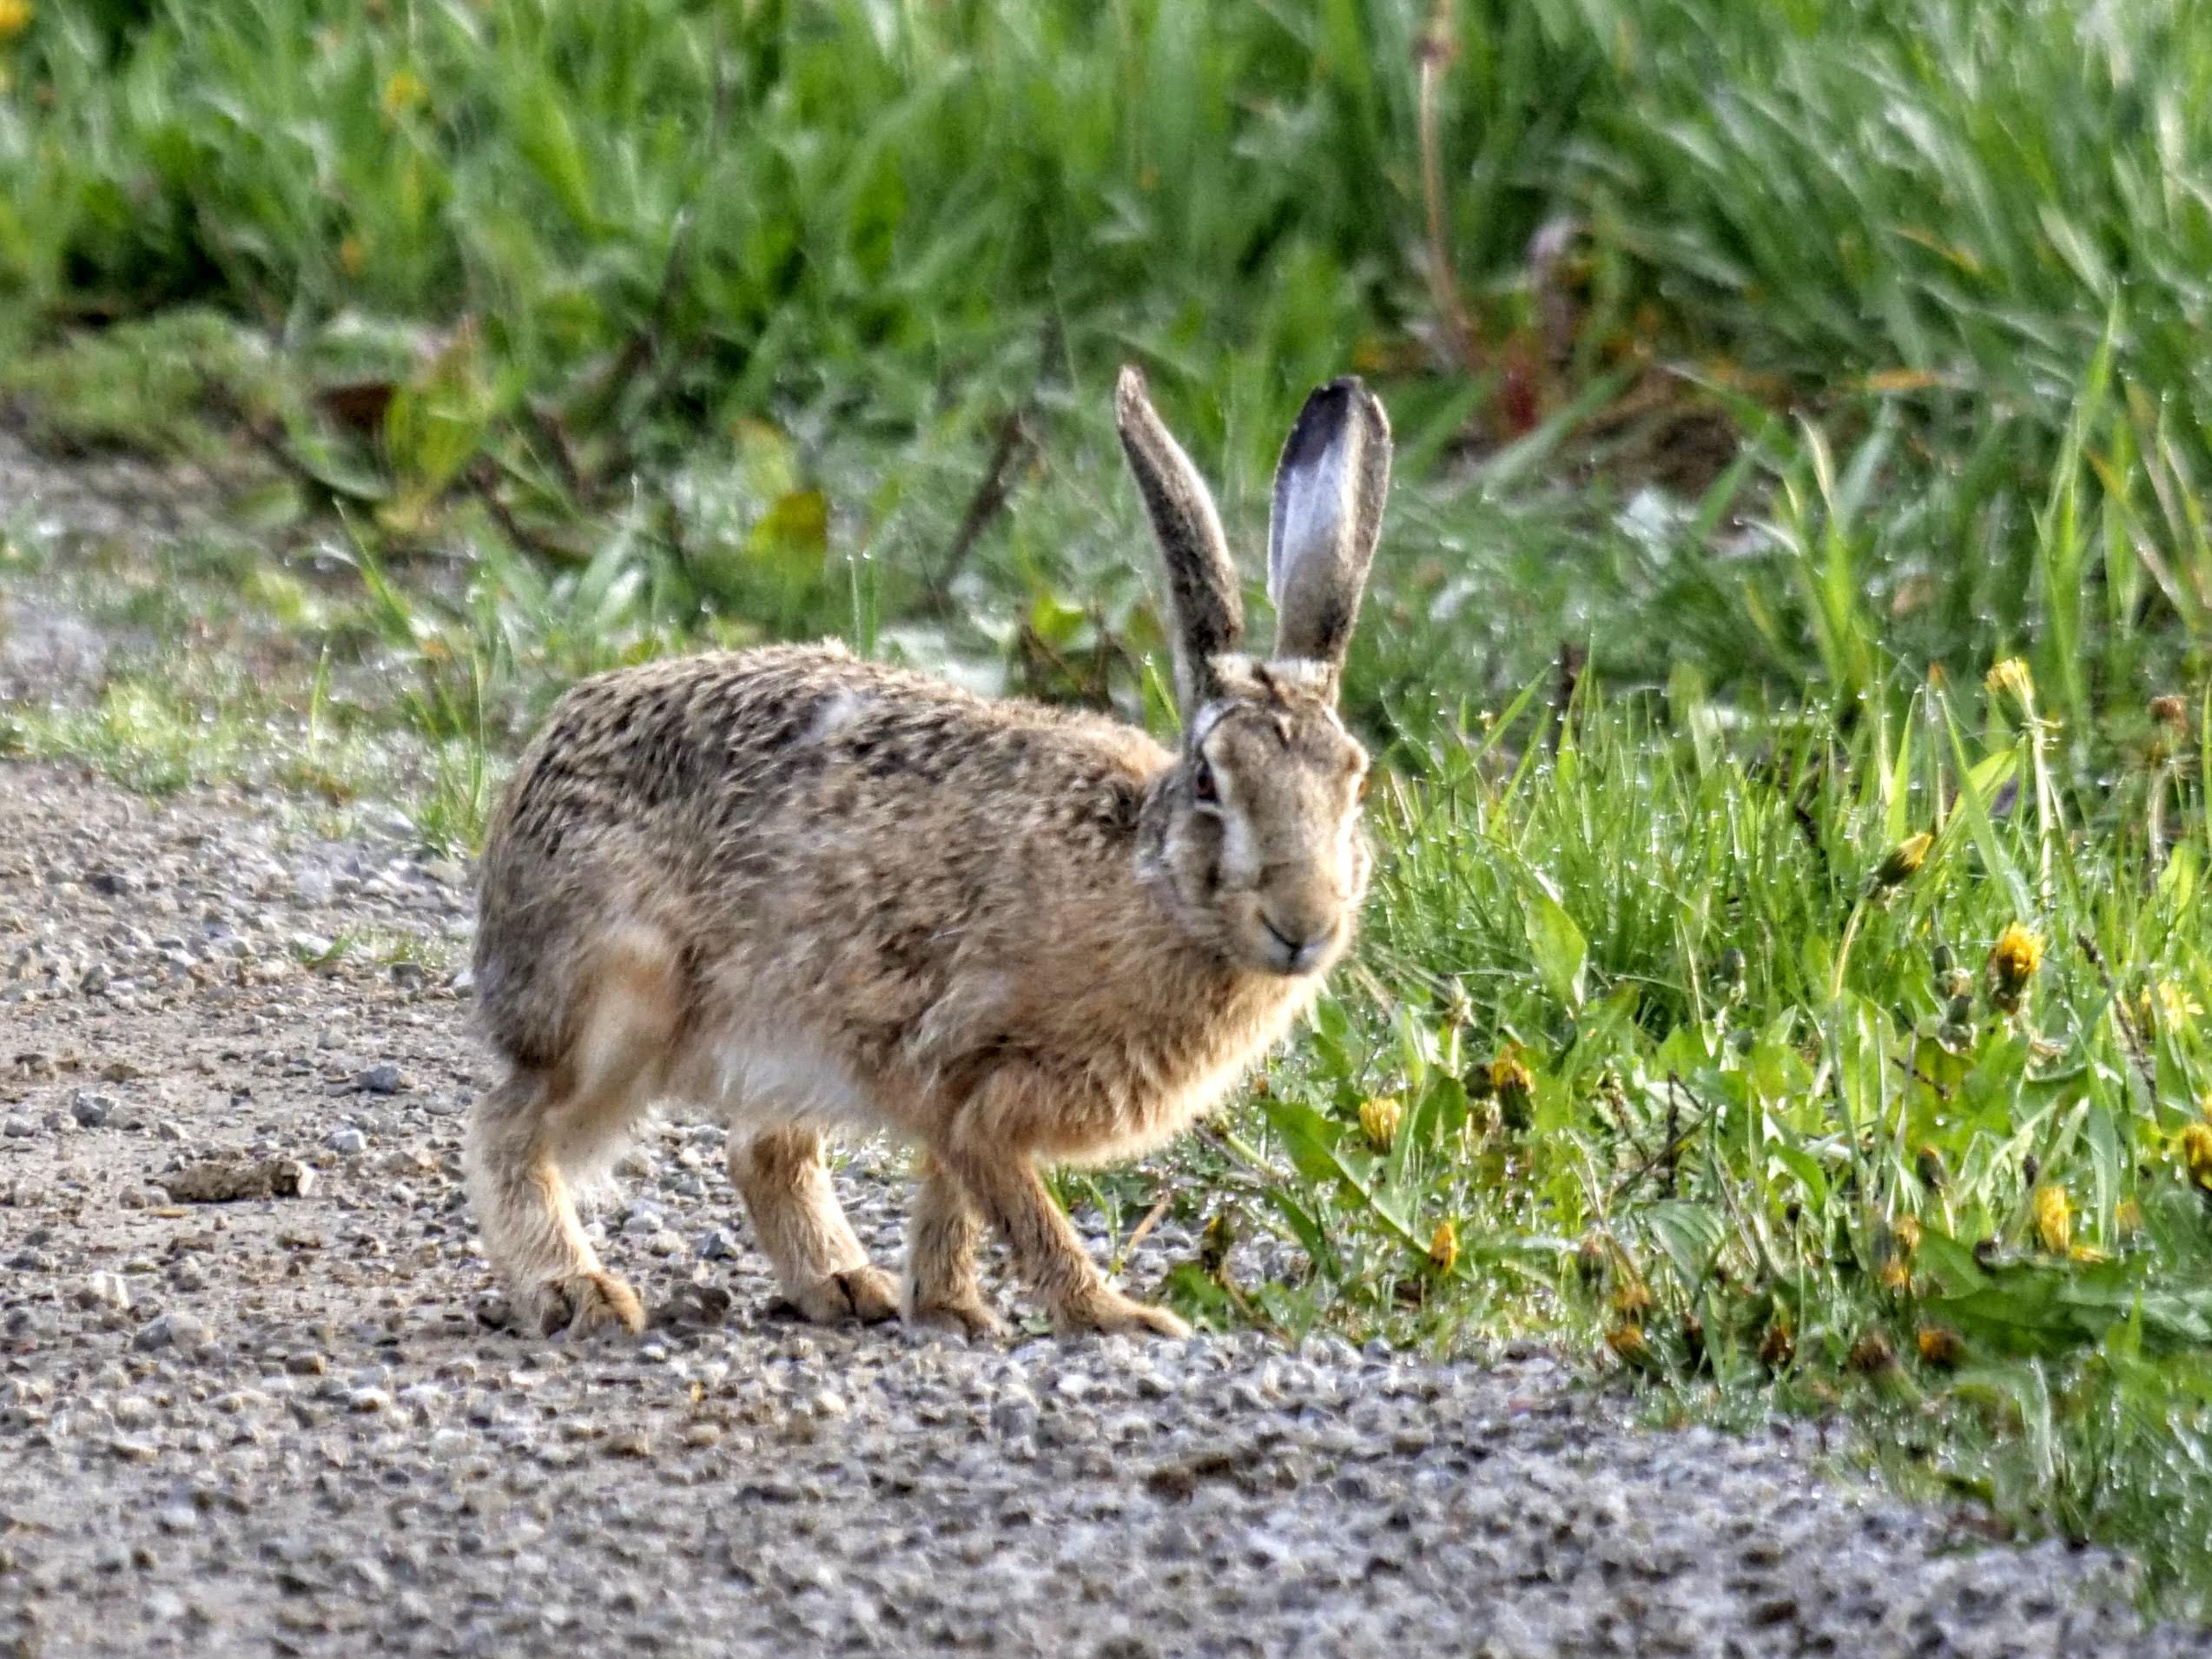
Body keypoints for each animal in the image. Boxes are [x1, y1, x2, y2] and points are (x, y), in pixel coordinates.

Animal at [466, 365, 1392, 1340]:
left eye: (1356, 781)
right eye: (1214, 782)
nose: (1303, 923)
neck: (1152, 887)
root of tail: (527, 786)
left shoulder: (948, 1087)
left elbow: (951, 1196)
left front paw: (947, 1304)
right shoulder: (970, 1078)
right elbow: (1016, 1201)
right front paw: (1111, 1313)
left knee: (763, 1149)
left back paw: (845, 1285)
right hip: (622, 1001)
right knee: (508, 1125)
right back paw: (575, 1289)